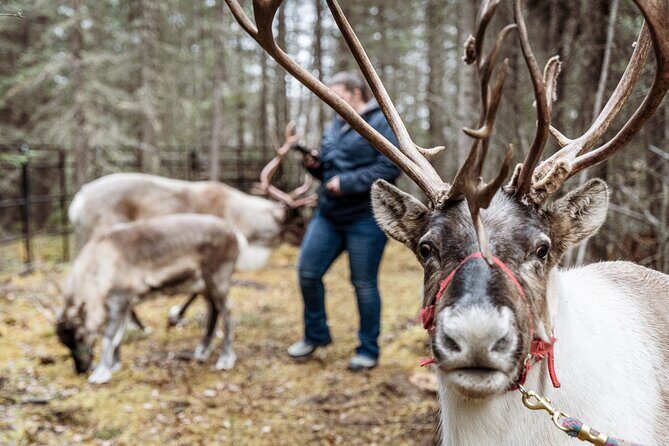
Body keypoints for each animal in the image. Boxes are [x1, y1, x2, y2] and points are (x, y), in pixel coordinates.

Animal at [51, 214, 244, 384]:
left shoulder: (118, 301)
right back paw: (203, 350)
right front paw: (114, 366)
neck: (99, 268)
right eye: (63, 342)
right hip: (203, 285)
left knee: (228, 312)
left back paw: (225, 359)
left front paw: (100, 373)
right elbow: (119, 337)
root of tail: (234, 234)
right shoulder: (125, 305)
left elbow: (109, 338)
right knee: (213, 309)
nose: (80, 369)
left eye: (80, 336)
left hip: (218, 279)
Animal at [68, 124, 315, 328]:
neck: (243, 221)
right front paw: (176, 316)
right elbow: (198, 290)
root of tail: (79, 199)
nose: (307, 241)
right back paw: (136, 324)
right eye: (300, 221)